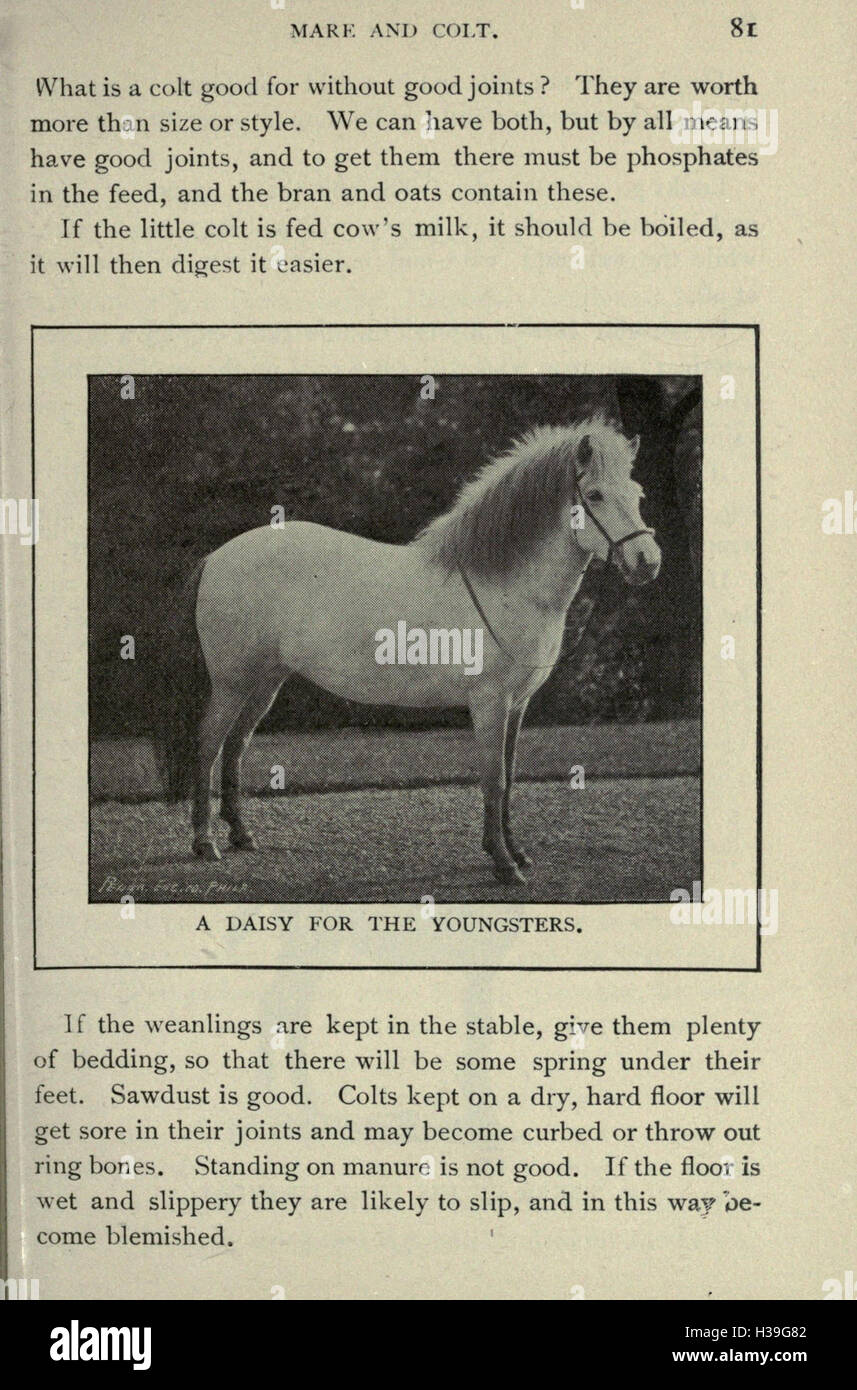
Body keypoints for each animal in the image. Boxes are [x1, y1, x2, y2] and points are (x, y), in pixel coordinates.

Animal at [157, 417, 661, 885]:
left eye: (637, 493)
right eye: (594, 495)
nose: (648, 563)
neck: (504, 582)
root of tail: (216, 558)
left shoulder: (518, 704)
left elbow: (510, 776)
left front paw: (514, 853)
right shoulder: (490, 702)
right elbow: (494, 780)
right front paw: (503, 864)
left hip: (265, 682)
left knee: (236, 746)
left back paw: (241, 835)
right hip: (232, 683)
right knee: (209, 745)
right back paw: (204, 842)